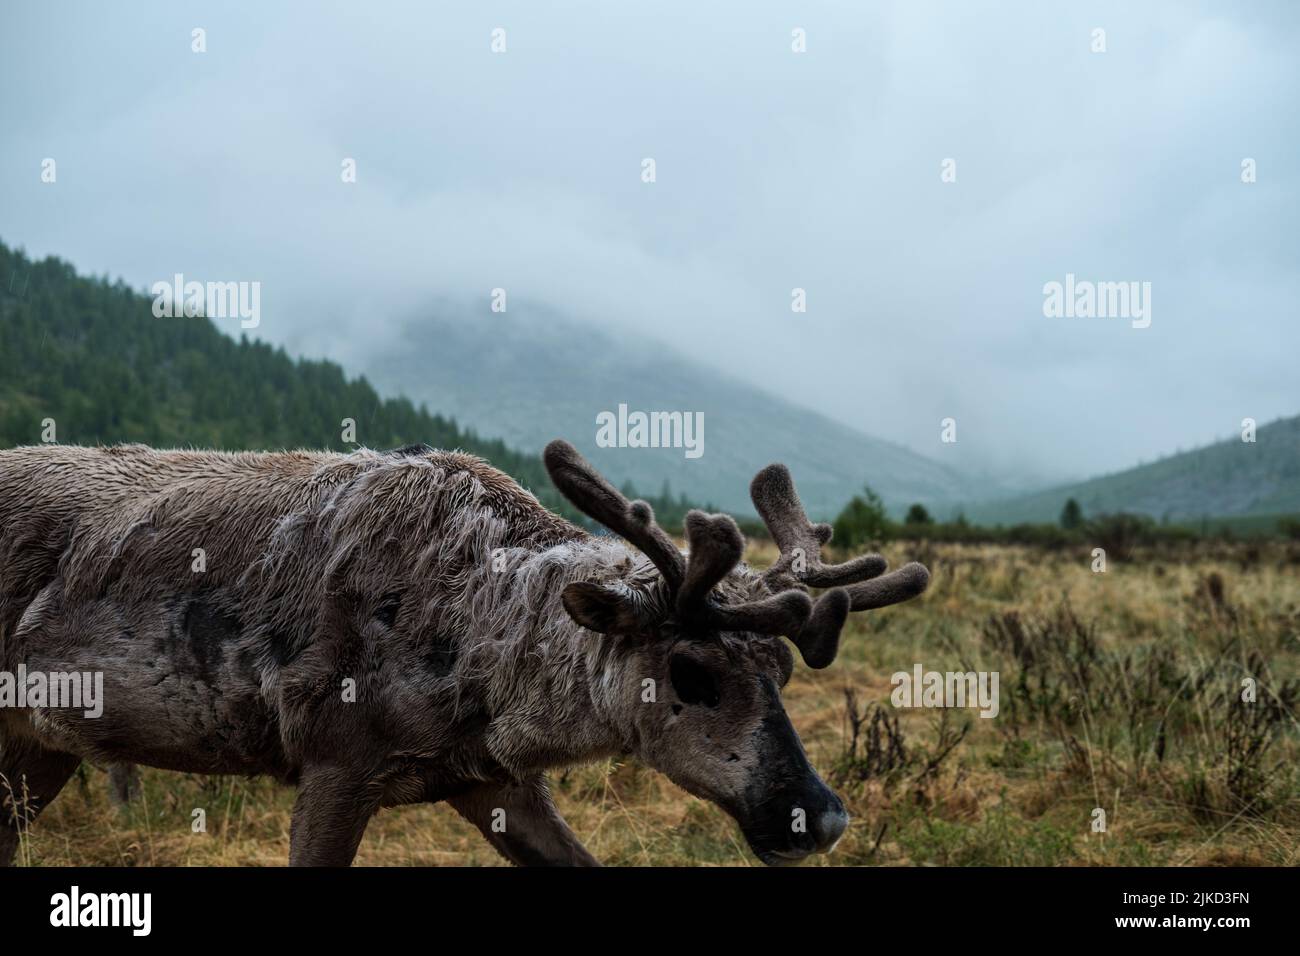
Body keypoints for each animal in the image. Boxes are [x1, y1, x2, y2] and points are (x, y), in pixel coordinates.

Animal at [0, 438, 928, 866]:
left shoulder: (491, 780)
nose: (822, 813)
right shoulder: (335, 763)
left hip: (41, 746)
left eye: (783, 670)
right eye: (690, 672)